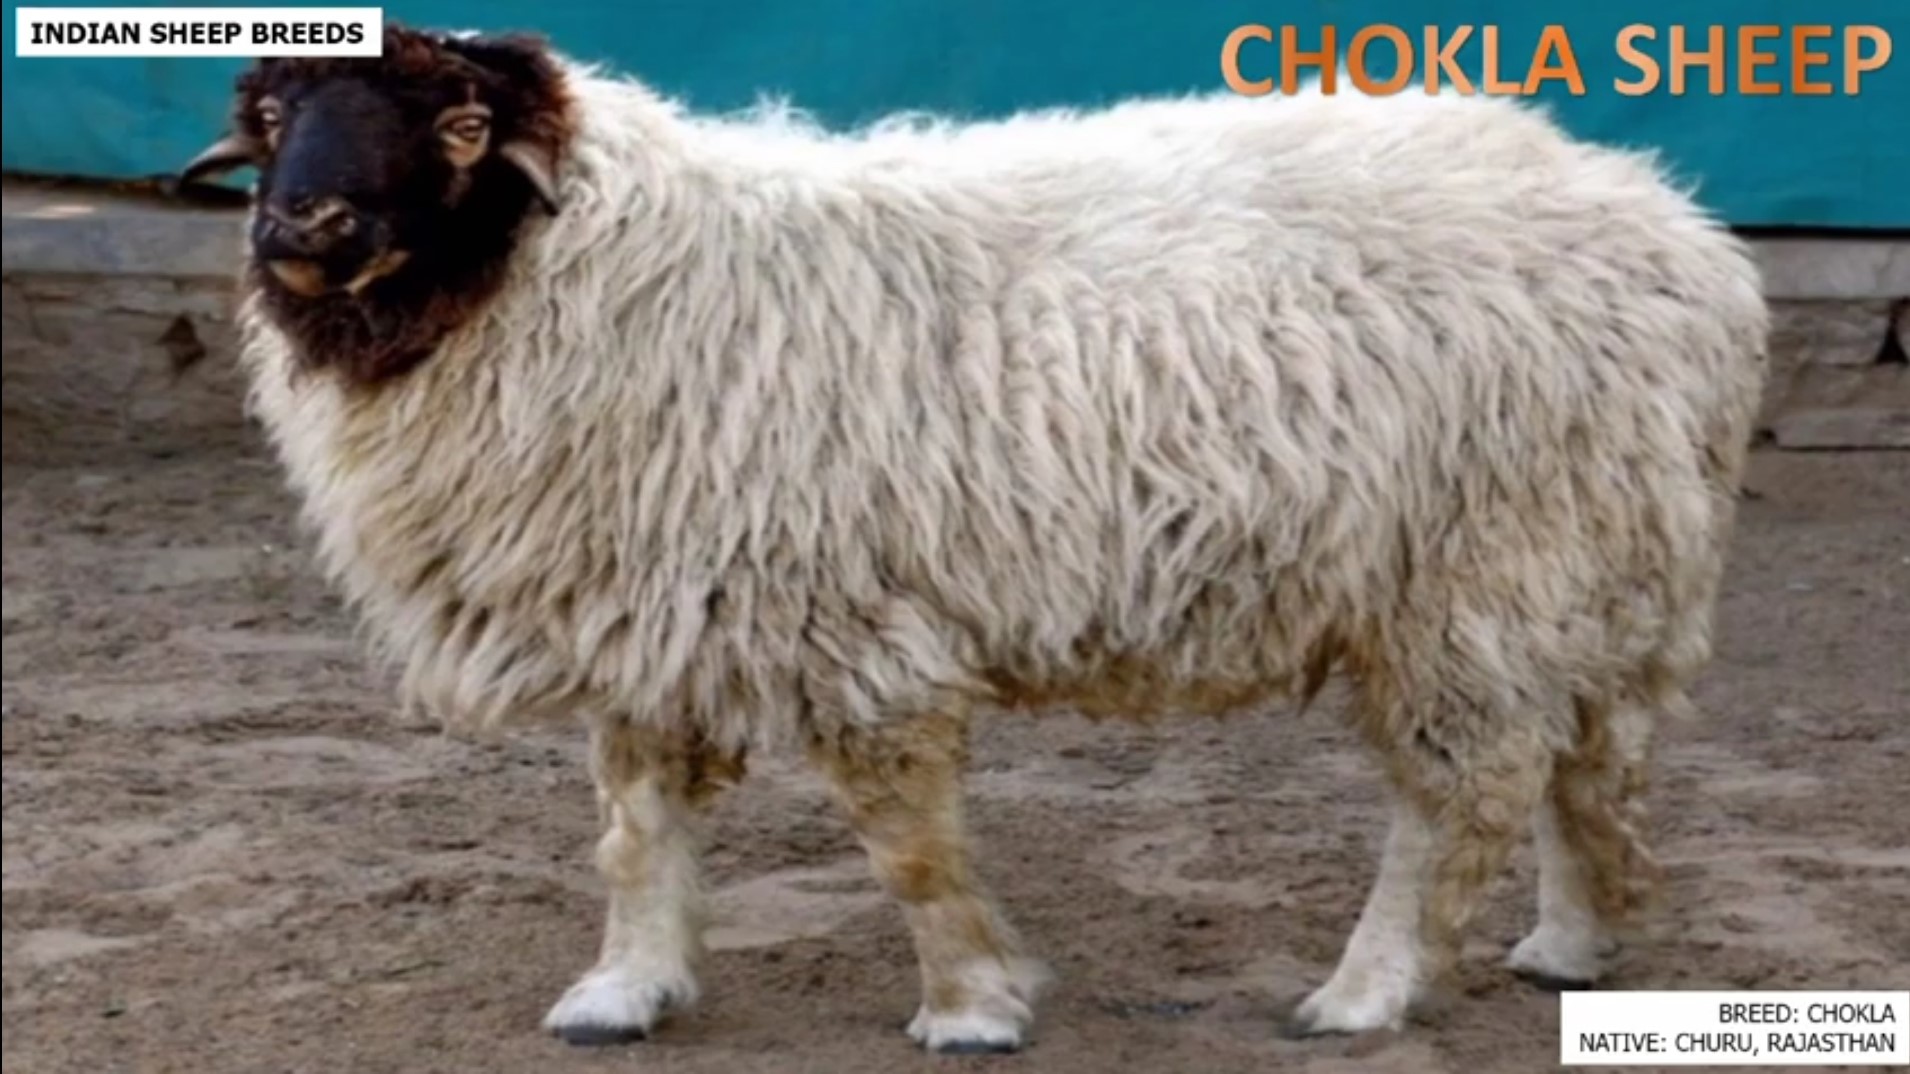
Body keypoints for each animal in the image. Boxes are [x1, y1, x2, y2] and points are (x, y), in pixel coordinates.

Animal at [178, 23, 1769, 1053]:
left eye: (456, 126)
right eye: (268, 120)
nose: (302, 225)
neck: (607, 271)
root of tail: (1674, 226)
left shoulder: (852, 626)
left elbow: (908, 853)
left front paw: (971, 1008)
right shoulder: (650, 602)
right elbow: (635, 831)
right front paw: (624, 991)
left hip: (1476, 569)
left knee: (1463, 792)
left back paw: (1364, 994)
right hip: (1588, 562)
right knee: (1582, 758)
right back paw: (1569, 944)